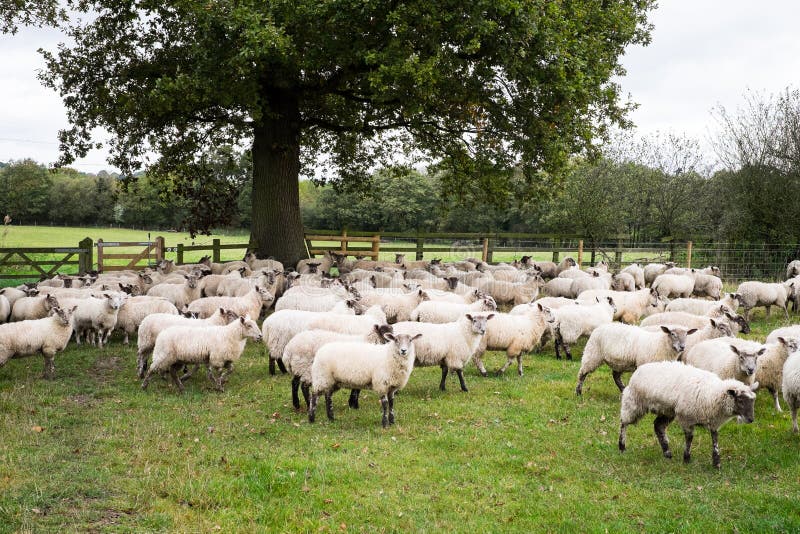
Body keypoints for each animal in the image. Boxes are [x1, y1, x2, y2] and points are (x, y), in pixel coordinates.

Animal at [618, 361, 759, 468]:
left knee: (658, 426)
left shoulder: (713, 421)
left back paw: (667, 452)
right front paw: (686, 458)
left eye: (753, 401)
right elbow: (689, 437)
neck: (711, 393)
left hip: (667, 410)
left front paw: (717, 463)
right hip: (633, 402)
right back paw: (622, 446)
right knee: (624, 422)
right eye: (740, 401)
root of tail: (640, 368)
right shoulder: (687, 418)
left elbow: (715, 440)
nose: (751, 419)